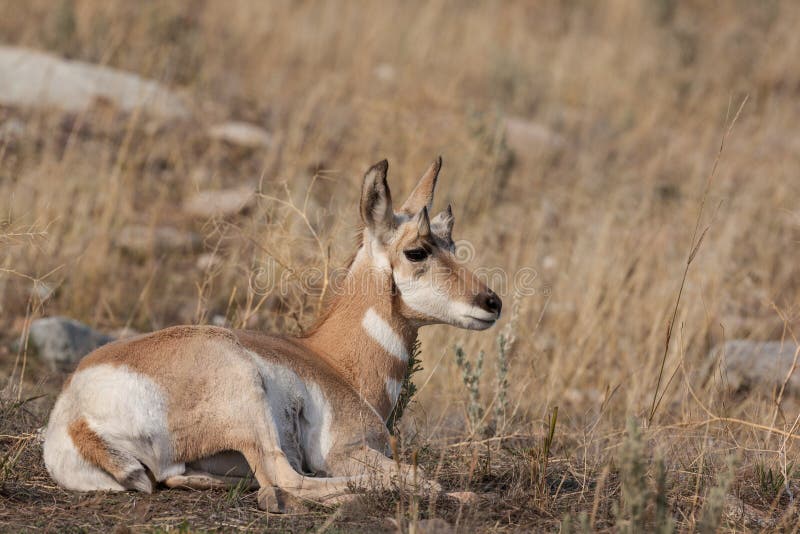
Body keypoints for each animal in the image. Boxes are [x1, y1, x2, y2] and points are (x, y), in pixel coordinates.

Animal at [42, 157, 502, 512]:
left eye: (451, 242)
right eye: (417, 251)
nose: (491, 302)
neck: (333, 362)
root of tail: (76, 415)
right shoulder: (347, 451)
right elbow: (420, 475)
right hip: (247, 395)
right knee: (285, 479)